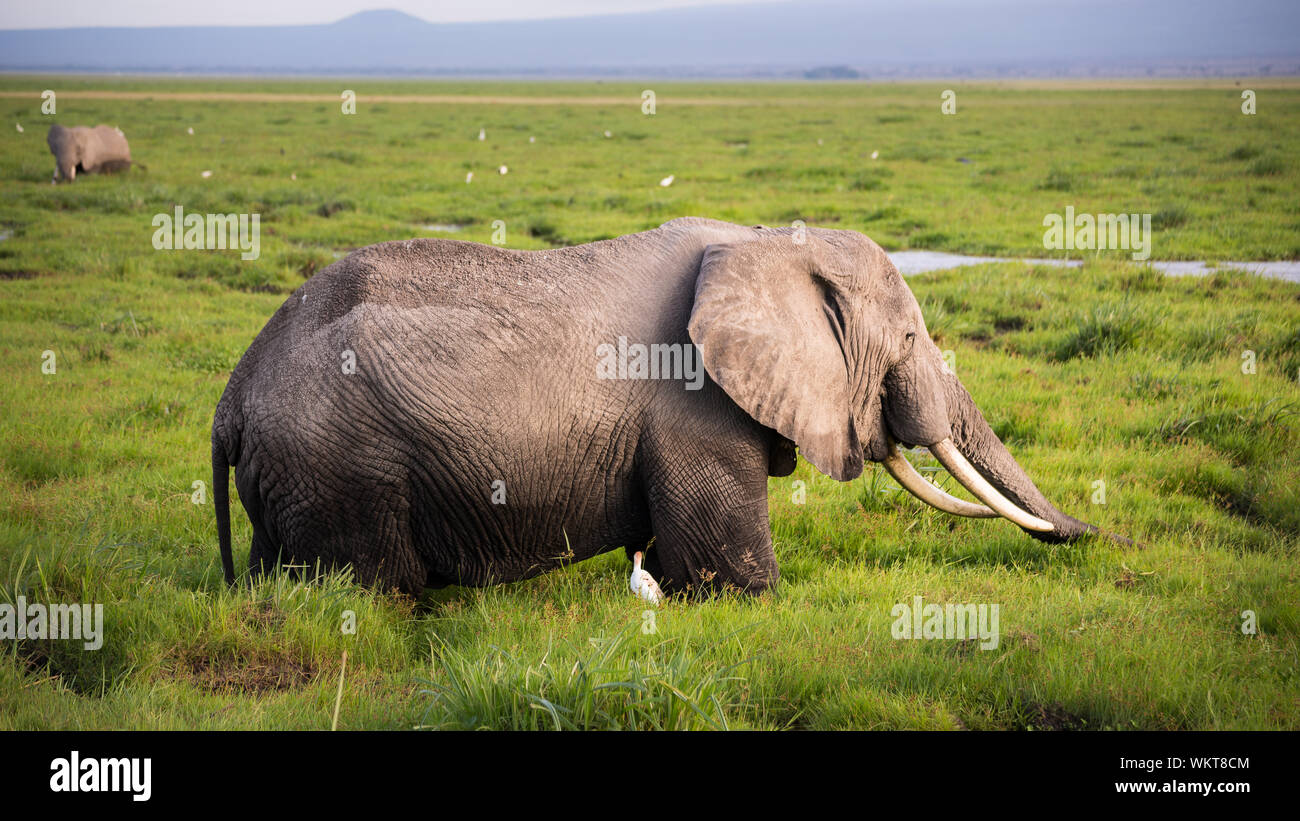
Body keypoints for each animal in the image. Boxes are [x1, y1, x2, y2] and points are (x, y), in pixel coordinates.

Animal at [213, 217, 1105, 599]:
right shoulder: (695, 408)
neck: (769, 241)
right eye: (912, 336)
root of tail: (230, 400)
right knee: (370, 588)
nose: (1105, 538)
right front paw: (748, 600)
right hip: (341, 463)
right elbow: (737, 573)